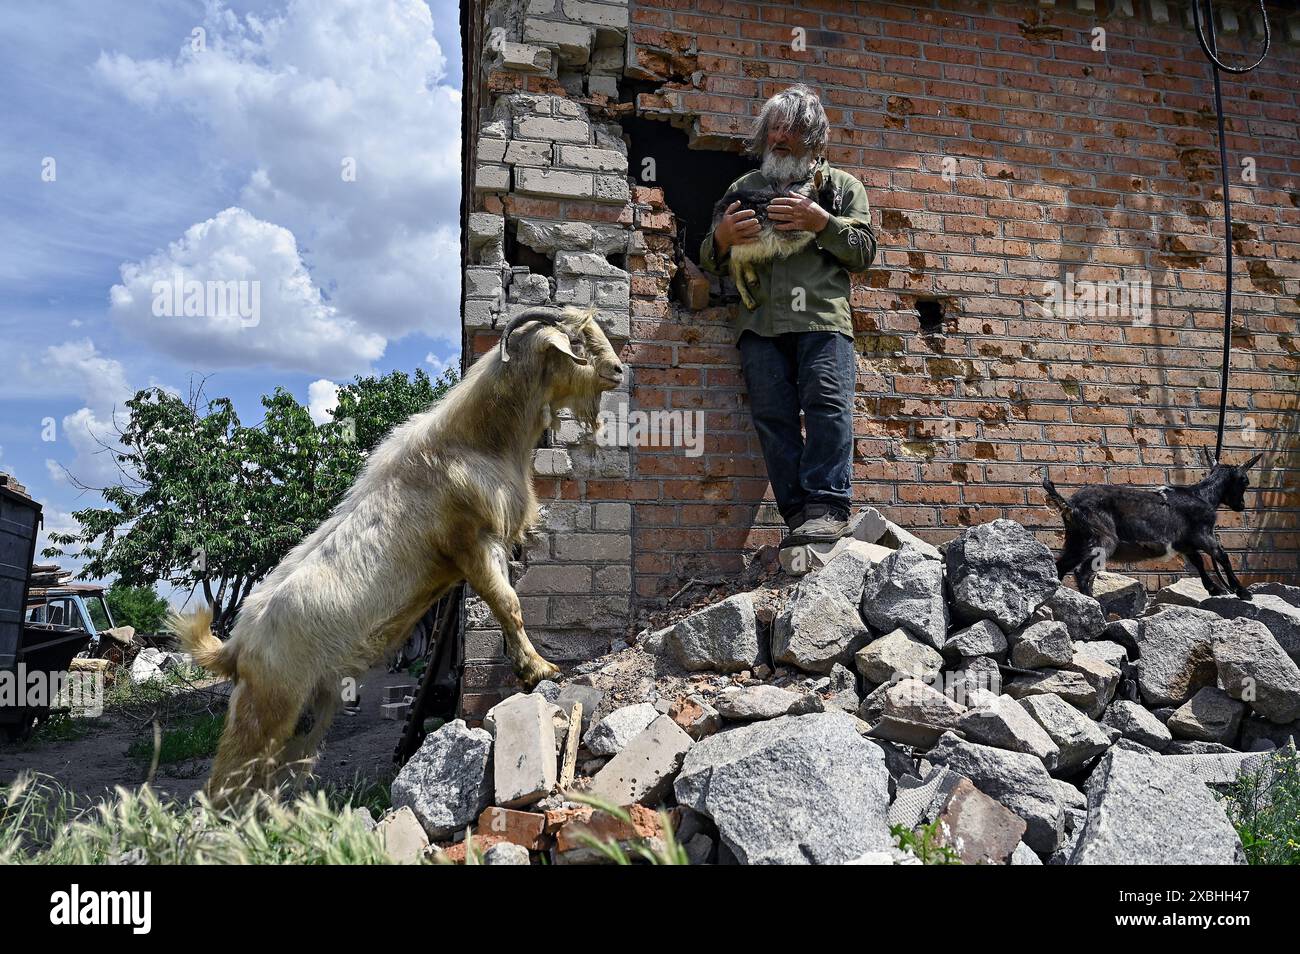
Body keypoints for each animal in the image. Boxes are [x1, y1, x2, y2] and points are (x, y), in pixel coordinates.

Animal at [171, 306, 624, 802]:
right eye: (576, 343)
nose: (618, 369)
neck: (473, 442)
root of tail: (235, 646)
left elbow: (507, 605)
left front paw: (526, 667)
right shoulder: (470, 541)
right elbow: (508, 603)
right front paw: (539, 669)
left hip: (311, 706)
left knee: (276, 771)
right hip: (267, 703)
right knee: (227, 778)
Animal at [712, 168, 836, 310]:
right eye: (830, 195)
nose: (836, 211)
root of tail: (718, 207)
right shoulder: (796, 229)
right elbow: (814, 233)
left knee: (741, 259)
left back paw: (752, 278)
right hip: (737, 240)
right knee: (735, 267)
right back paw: (749, 301)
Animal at [1042, 451, 1262, 600]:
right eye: (1245, 481)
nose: (1241, 506)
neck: (1203, 496)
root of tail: (1070, 505)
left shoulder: (1185, 542)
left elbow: (1198, 561)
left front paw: (1215, 589)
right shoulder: (1203, 534)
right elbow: (1221, 556)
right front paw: (1242, 592)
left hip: (1076, 540)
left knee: (1060, 566)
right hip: (1102, 539)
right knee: (1082, 571)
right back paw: (1094, 604)